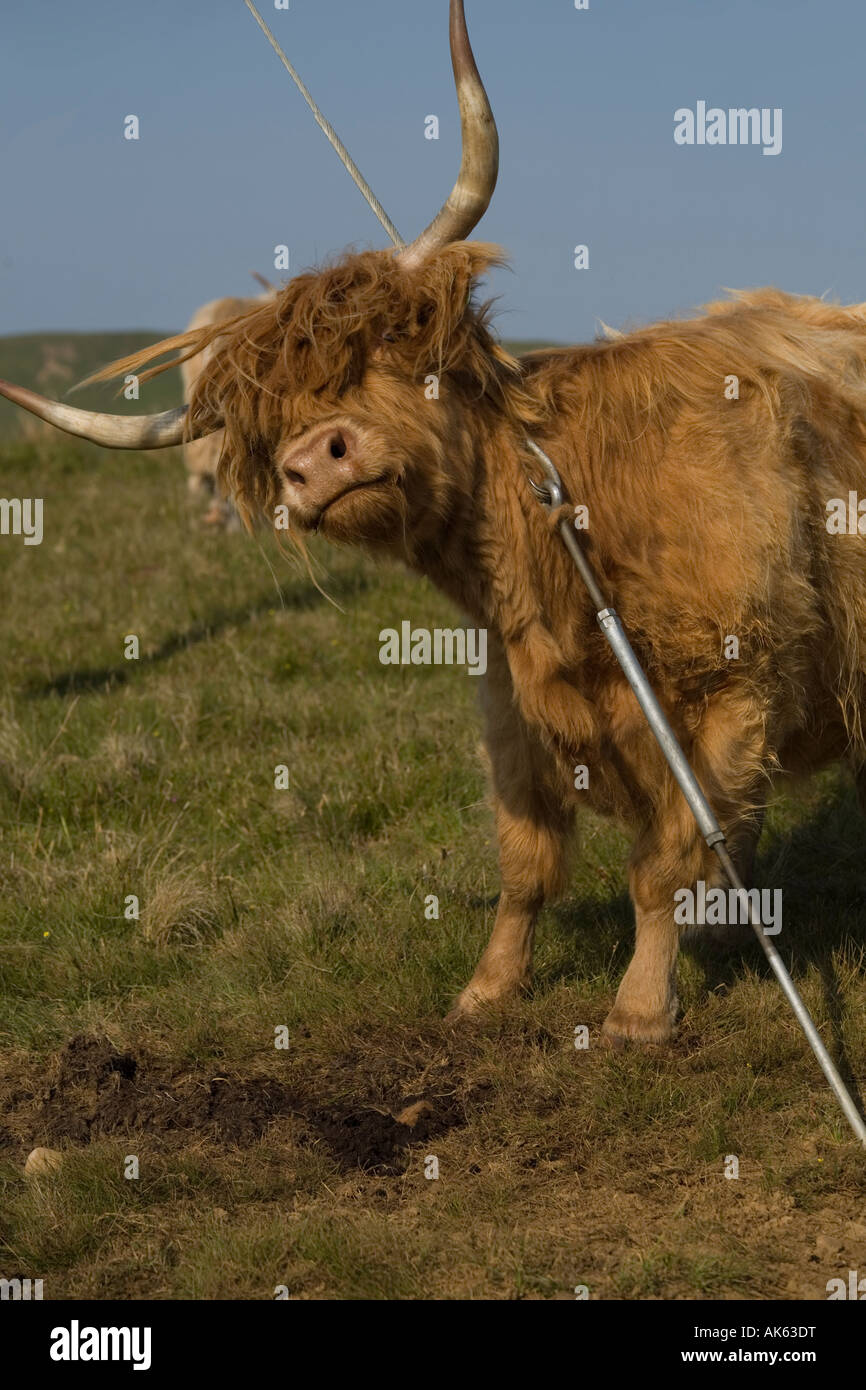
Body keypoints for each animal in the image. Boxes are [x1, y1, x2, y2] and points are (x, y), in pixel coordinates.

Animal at [3, 0, 866, 1047]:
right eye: (269, 427)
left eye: (383, 347)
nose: (314, 459)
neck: (562, 529)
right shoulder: (510, 700)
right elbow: (524, 860)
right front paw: (488, 990)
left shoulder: (736, 686)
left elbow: (664, 862)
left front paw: (637, 1013)